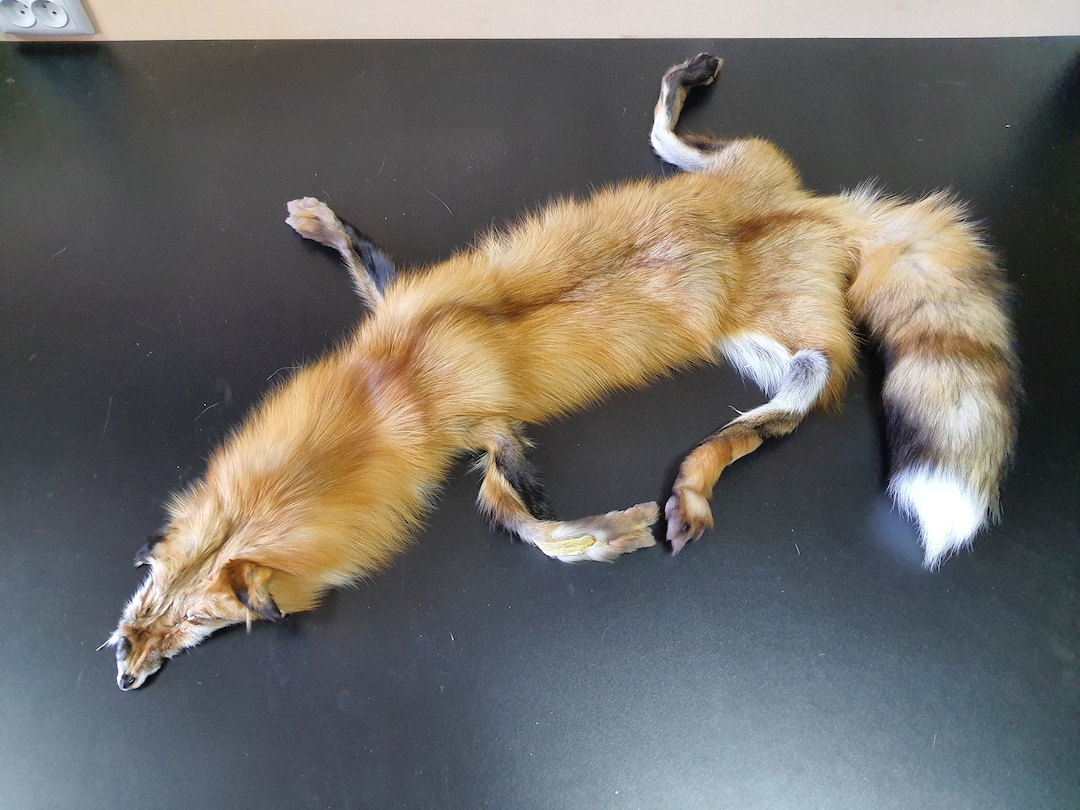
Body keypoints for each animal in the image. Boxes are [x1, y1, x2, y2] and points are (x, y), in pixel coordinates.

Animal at [107, 54, 1018, 690]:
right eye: (143, 603)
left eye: (202, 623)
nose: (121, 670)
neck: (391, 381)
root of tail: (820, 217)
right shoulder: (398, 307)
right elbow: (364, 257)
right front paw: (324, 221)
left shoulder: (488, 429)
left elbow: (527, 526)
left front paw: (604, 537)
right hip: (749, 200)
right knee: (671, 143)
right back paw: (684, 84)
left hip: (801, 352)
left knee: (776, 416)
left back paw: (694, 483)